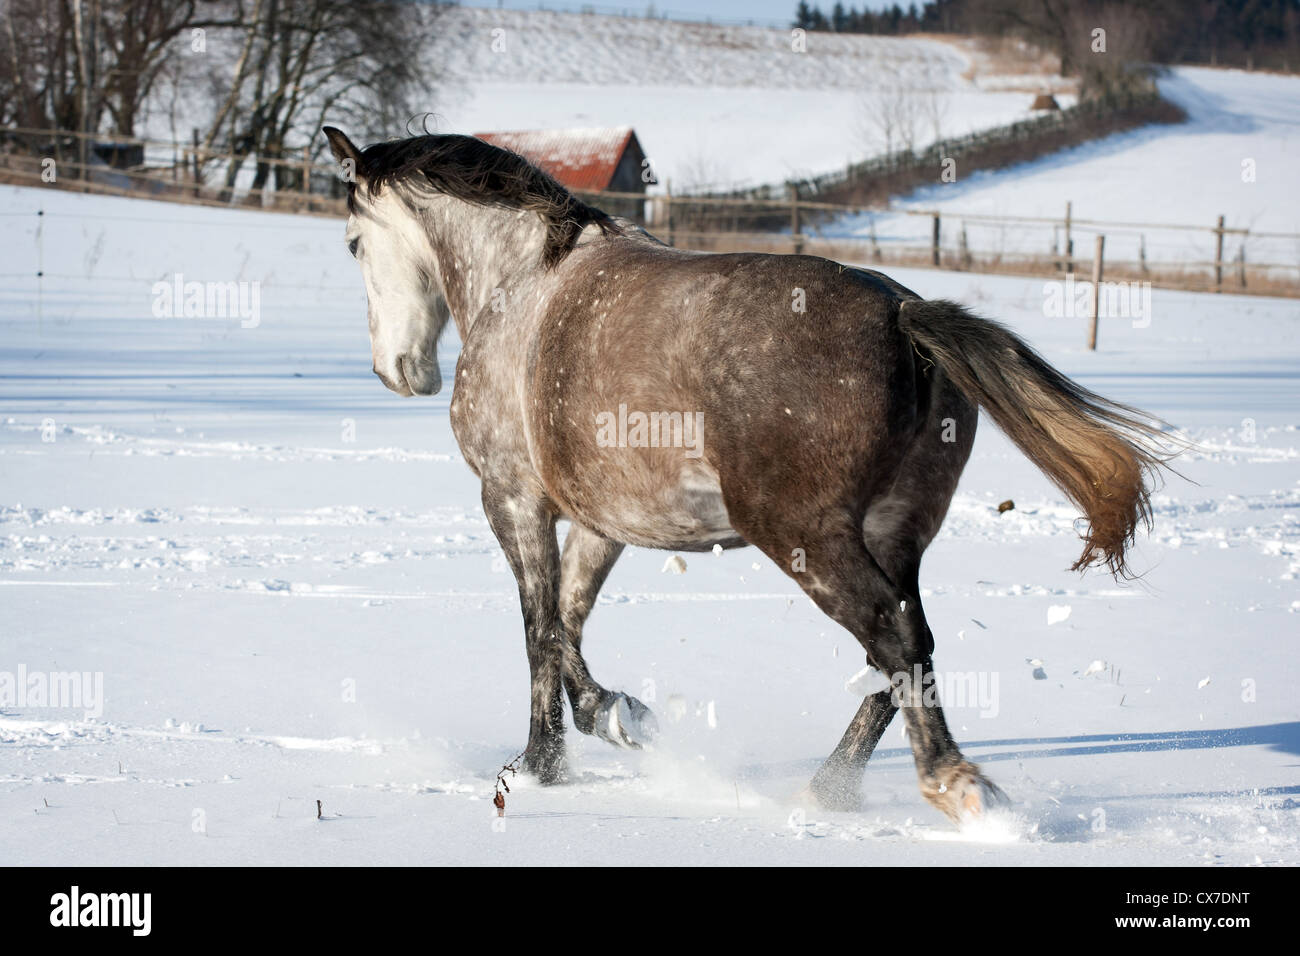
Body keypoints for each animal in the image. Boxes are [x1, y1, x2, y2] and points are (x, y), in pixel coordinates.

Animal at [322, 125, 1170, 824]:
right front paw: (618, 717)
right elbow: (569, 624)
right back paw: (830, 792)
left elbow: (539, 633)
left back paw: (957, 789)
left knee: (895, 643)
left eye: (355, 244)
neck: (522, 286)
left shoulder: (512, 499)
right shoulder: (604, 521)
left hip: (807, 538)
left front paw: (539, 766)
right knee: (903, 650)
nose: (400, 371)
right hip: (896, 533)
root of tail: (905, 319)